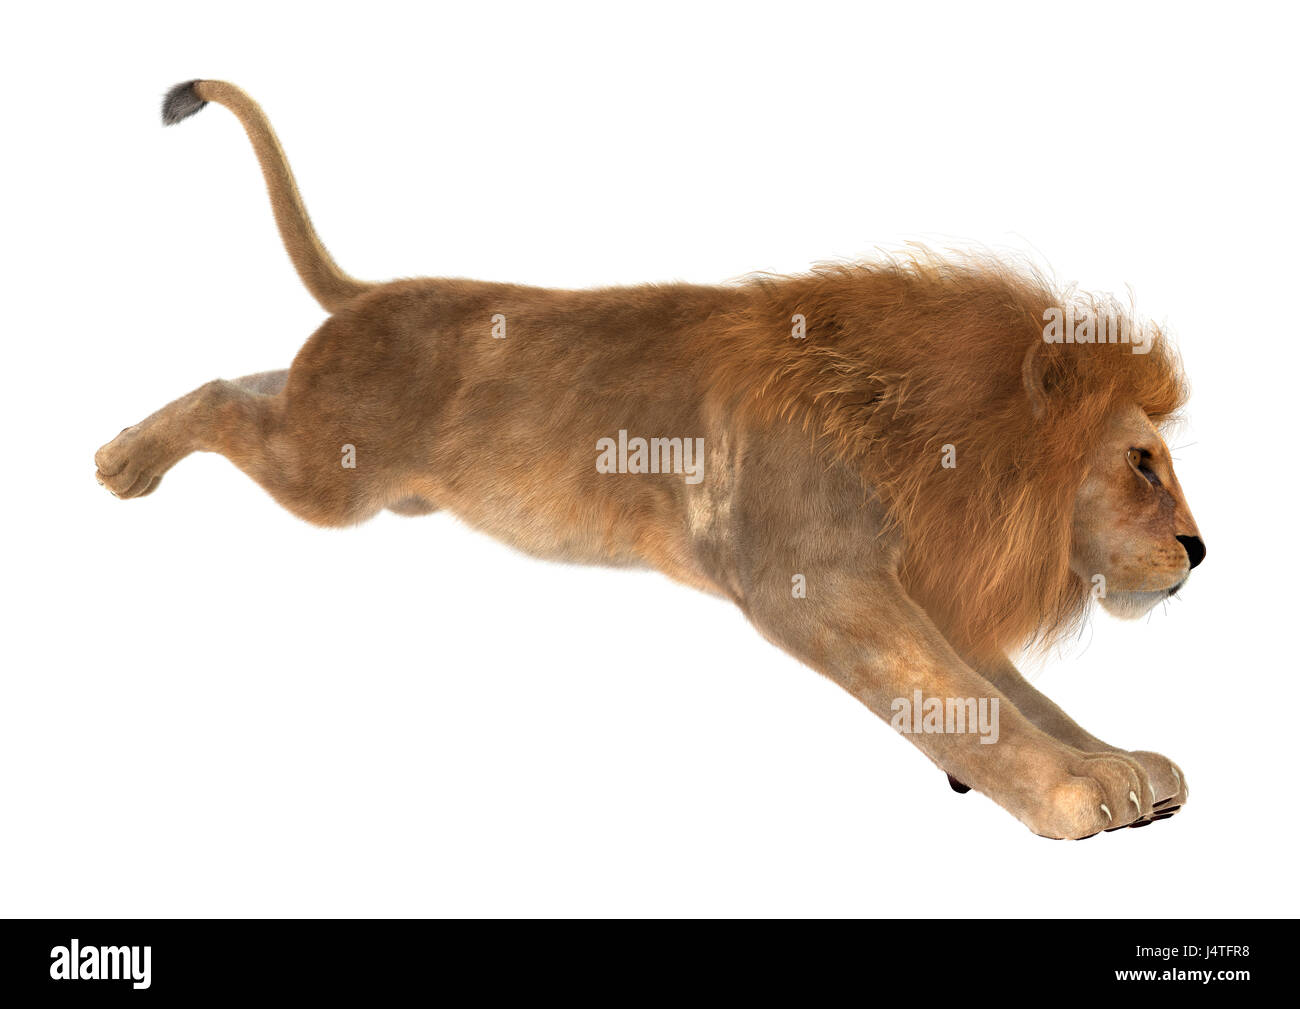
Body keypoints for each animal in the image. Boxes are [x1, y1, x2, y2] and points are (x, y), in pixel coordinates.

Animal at [95, 81, 1205, 838]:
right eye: (1142, 464)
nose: (1200, 553)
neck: (931, 440)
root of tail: (375, 291)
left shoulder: (915, 584)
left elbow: (1017, 693)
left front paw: (1117, 763)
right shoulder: (818, 585)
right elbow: (956, 697)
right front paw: (1074, 790)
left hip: (350, 464)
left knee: (255, 381)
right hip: (328, 475)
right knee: (223, 397)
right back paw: (121, 461)